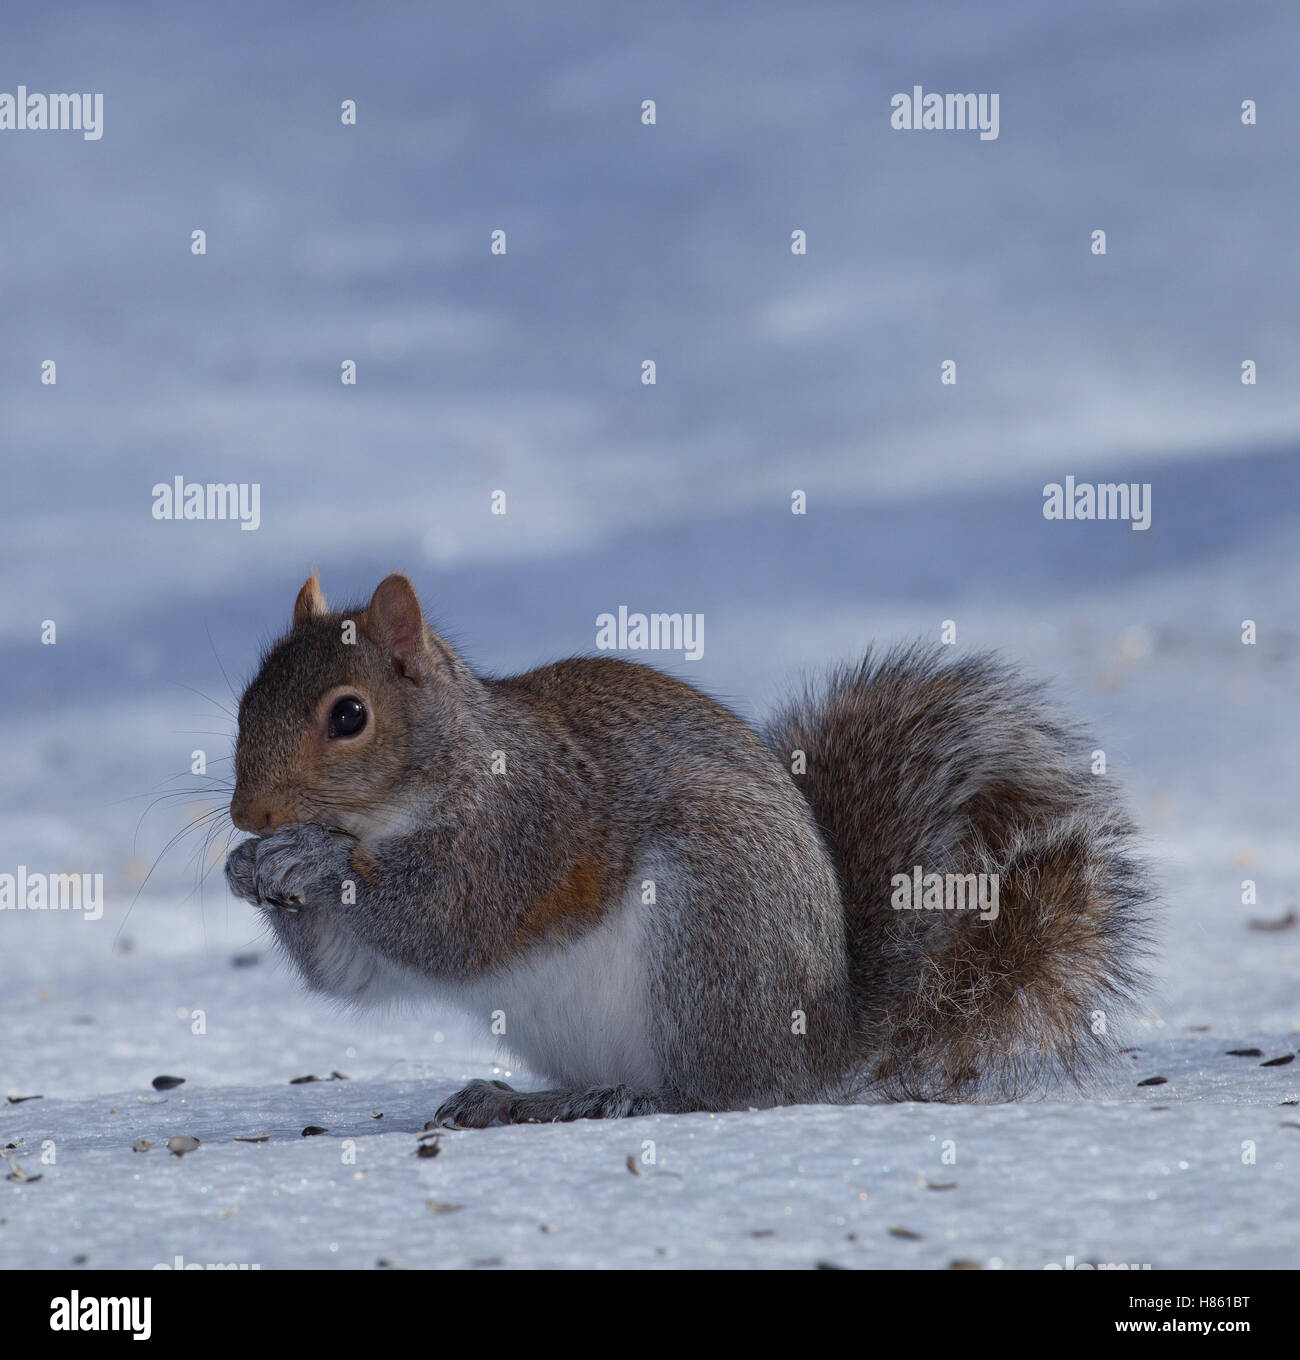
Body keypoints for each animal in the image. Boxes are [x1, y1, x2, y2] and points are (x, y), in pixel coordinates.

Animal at [225, 571, 1152, 1127]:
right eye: (244, 700)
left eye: (349, 715)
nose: (246, 814)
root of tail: (821, 1043)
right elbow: (352, 974)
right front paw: (248, 870)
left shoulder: (522, 830)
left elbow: (448, 922)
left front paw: (313, 861)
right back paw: (518, 1099)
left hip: (708, 927)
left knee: (716, 1093)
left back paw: (628, 1098)